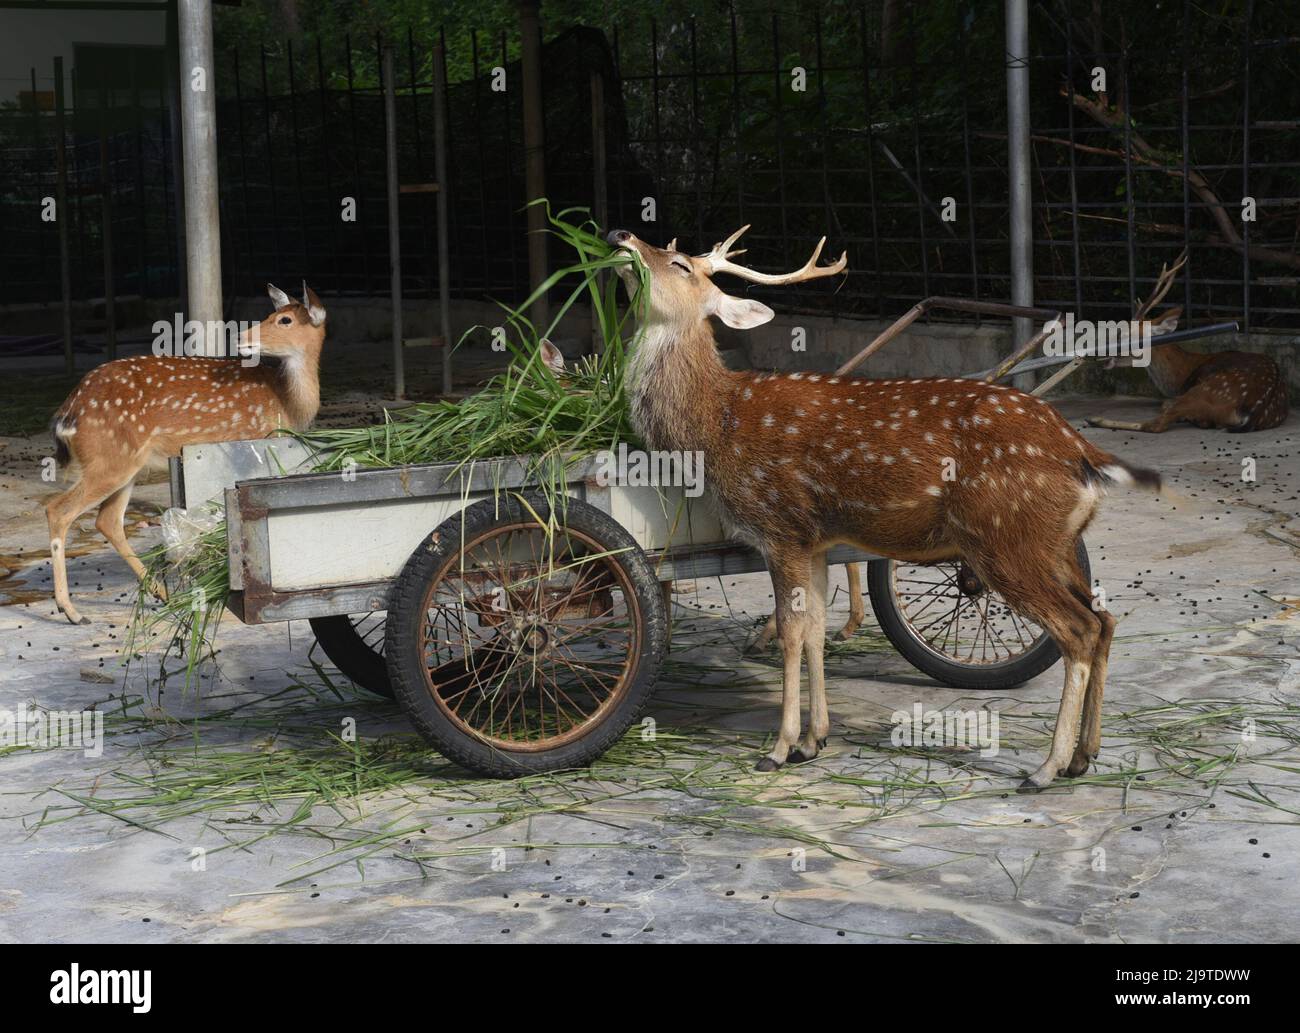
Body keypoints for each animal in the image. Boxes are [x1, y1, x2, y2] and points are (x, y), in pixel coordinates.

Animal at [45, 283, 327, 625]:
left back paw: (160, 593)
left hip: (125, 464)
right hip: (109, 459)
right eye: (272, 315)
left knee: (107, 520)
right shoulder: (251, 446)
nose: (241, 337)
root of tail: (68, 413)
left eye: (284, 319)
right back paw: (71, 611)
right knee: (58, 510)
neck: (287, 402)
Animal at [605, 226, 1163, 789]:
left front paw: (778, 749)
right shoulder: (815, 539)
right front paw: (813, 741)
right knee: (1105, 619)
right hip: (1055, 543)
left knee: (1078, 630)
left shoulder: (780, 525)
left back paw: (1046, 768)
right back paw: (1083, 755)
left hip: (1006, 539)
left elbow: (790, 632)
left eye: (678, 263)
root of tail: (1085, 454)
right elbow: (814, 632)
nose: (620, 233)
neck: (714, 423)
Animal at [1087, 250, 1289, 434]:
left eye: (1129, 336)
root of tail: (1253, 412)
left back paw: (1094, 419)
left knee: (1157, 425)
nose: (1102, 356)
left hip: (1204, 391)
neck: (1178, 377)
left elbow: (1164, 404)